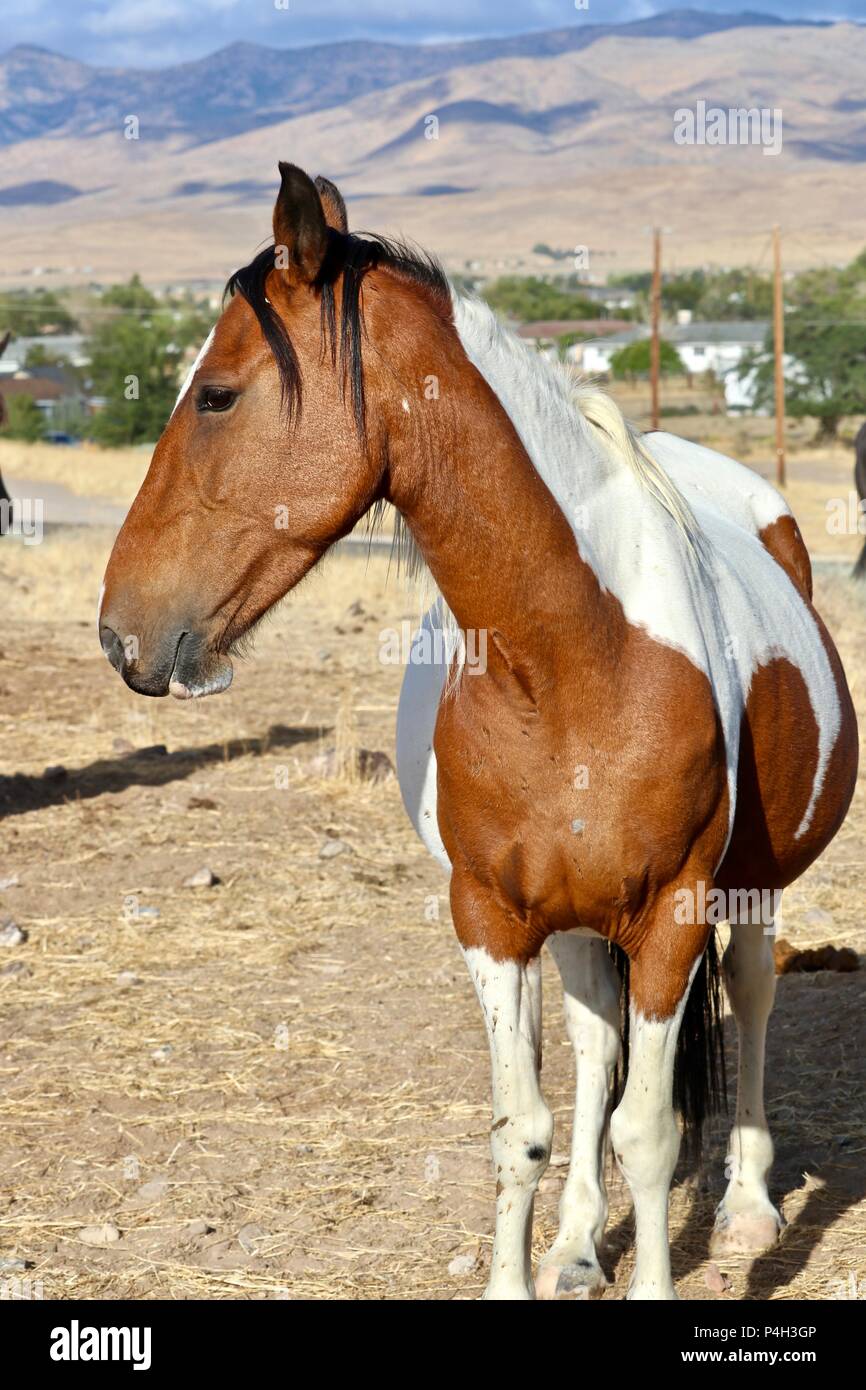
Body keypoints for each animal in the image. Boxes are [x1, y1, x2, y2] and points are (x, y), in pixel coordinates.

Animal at [98, 163, 858, 1300]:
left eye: (217, 393)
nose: (120, 632)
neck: (575, 658)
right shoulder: (489, 917)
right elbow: (523, 1128)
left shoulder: (675, 912)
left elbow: (647, 1135)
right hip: (579, 918)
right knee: (593, 1043)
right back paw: (578, 1242)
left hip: (750, 885)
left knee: (751, 992)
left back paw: (746, 1211)